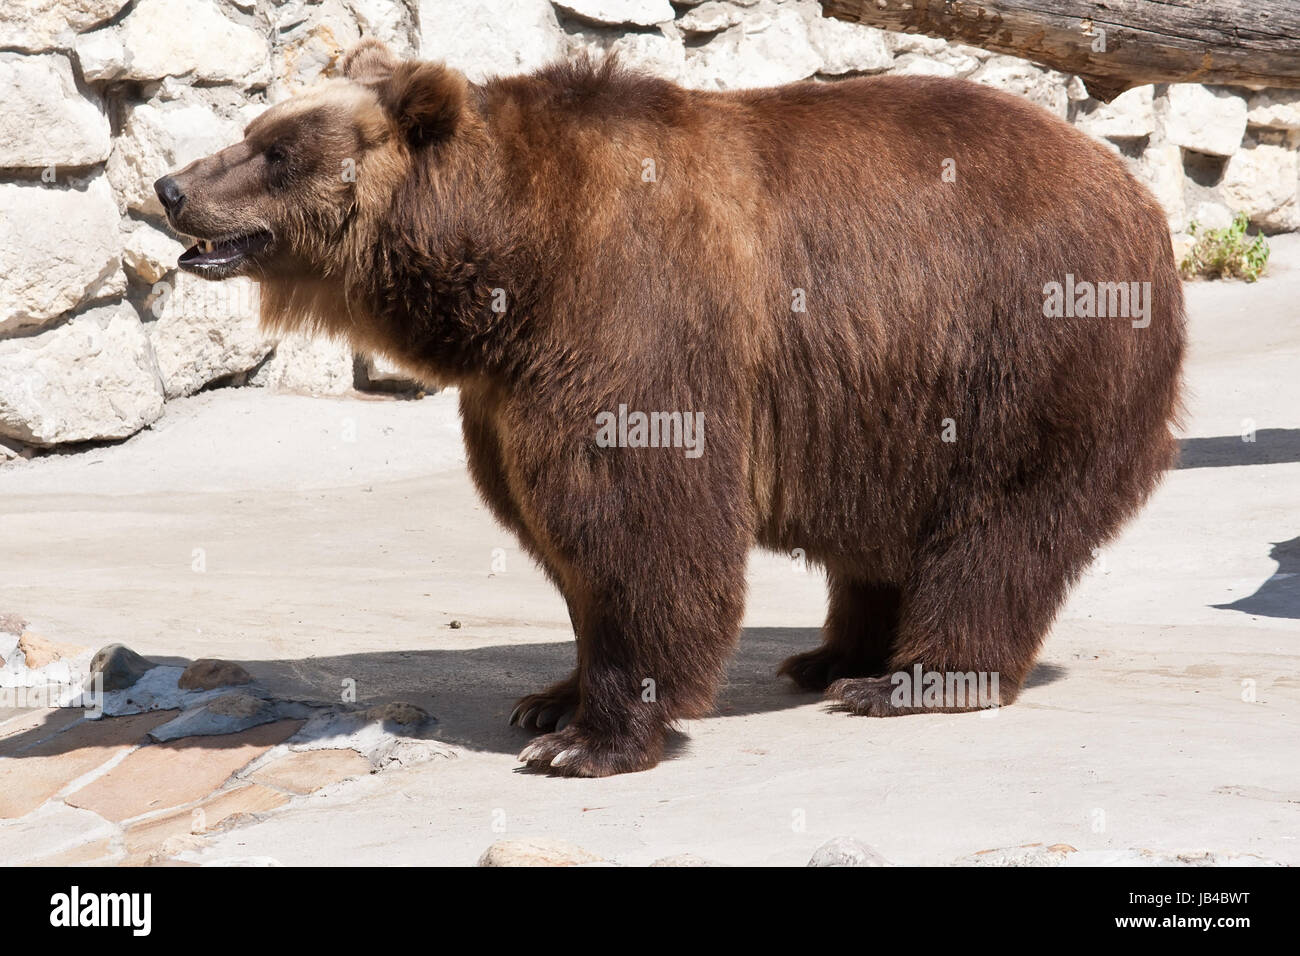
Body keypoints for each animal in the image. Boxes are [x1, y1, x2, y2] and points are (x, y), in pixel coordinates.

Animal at [154, 38, 1185, 777]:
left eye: (276, 151)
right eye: (254, 126)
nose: (171, 187)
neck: (508, 272)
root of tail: (1134, 191)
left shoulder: (634, 322)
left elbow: (643, 530)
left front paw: (584, 741)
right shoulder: (510, 396)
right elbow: (564, 542)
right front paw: (551, 695)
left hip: (1026, 348)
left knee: (998, 526)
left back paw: (908, 681)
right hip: (894, 396)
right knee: (885, 532)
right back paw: (829, 658)